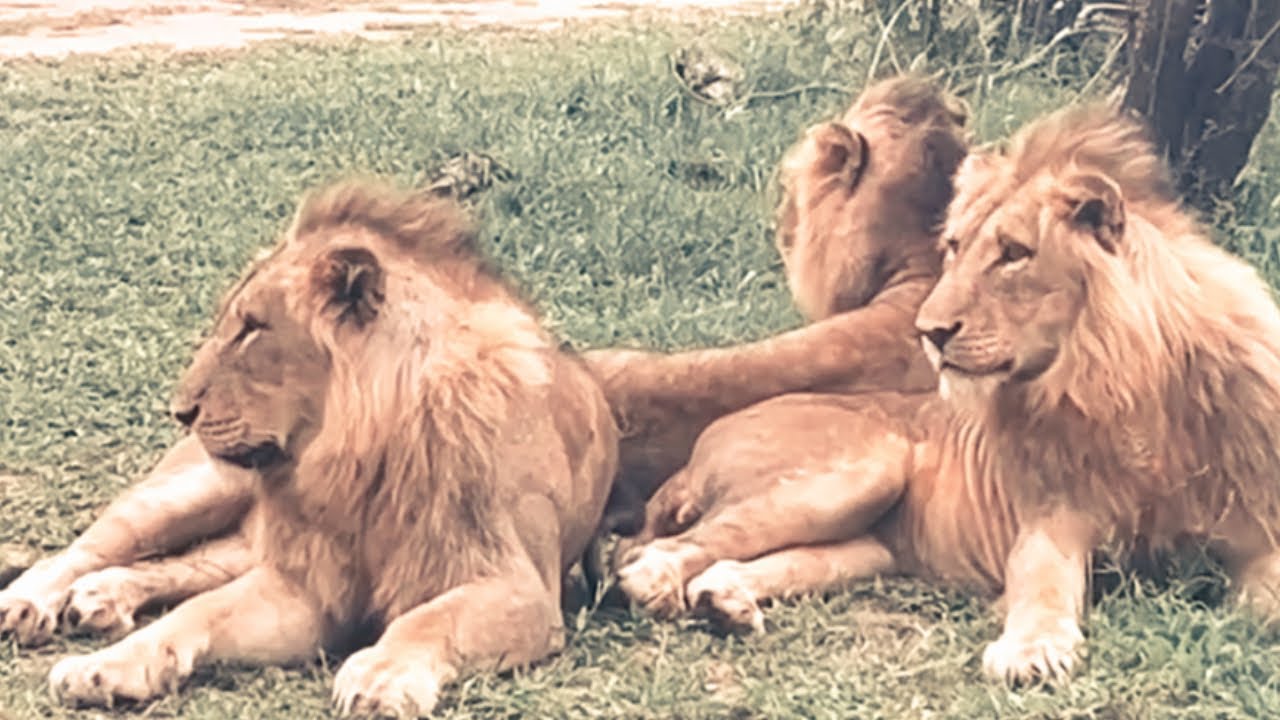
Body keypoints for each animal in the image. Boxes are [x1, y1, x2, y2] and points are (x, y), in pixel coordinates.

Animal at [1, 181, 617, 714]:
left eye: (251, 328)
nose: (180, 411)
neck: (352, 460)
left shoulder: (519, 586)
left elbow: (428, 619)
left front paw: (381, 675)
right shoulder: (305, 586)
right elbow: (199, 613)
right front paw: (103, 669)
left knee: (185, 566)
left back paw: (102, 597)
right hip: (188, 491)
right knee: (86, 549)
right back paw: (29, 604)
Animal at [615, 104, 1280, 685]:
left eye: (1013, 253)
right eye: (956, 247)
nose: (930, 332)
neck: (1116, 379)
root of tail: (698, 448)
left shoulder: (1258, 525)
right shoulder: (1051, 517)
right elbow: (1041, 586)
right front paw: (1031, 648)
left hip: (864, 547)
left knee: (729, 561)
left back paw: (723, 602)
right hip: (856, 470)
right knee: (657, 551)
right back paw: (665, 587)